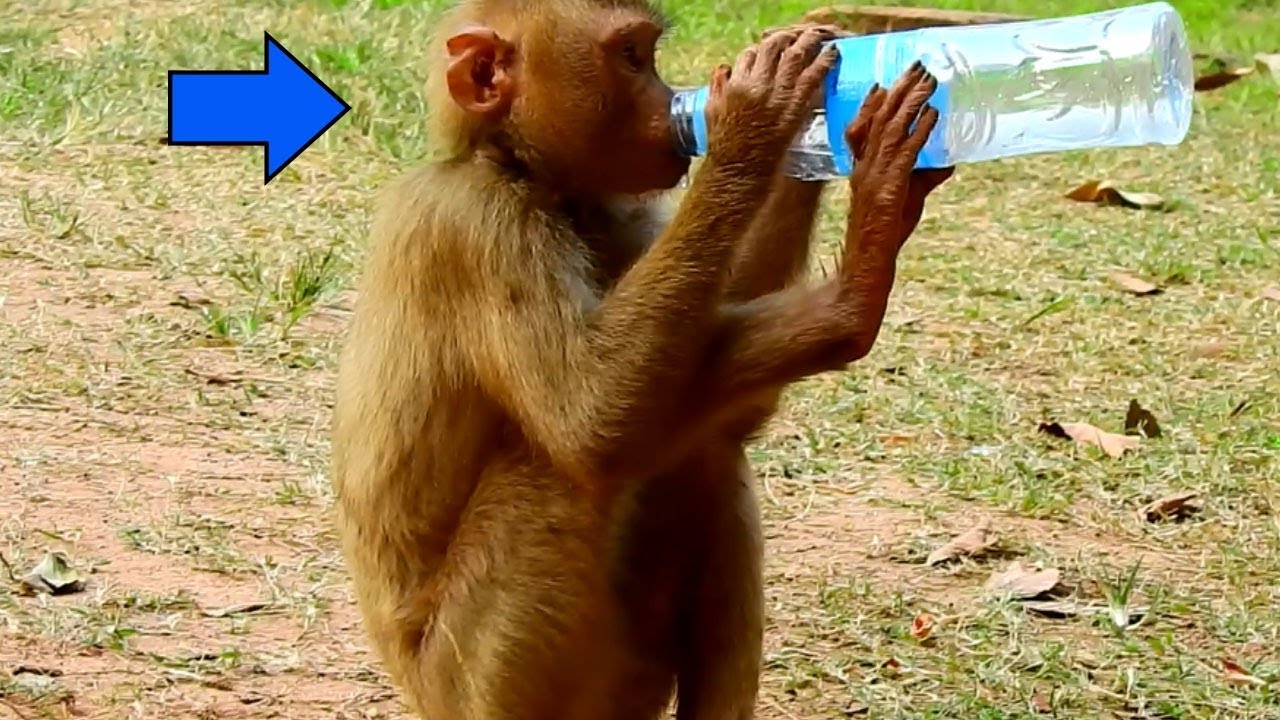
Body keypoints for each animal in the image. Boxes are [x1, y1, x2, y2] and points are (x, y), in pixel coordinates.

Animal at [330, 0, 952, 717]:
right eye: (632, 57)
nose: (670, 97)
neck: (524, 172)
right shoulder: (478, 225)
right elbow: (593, 421)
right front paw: (762, 126)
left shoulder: (619, 213)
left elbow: (719, 394)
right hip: (474, 679)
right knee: (561, 467)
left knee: (703, 449)